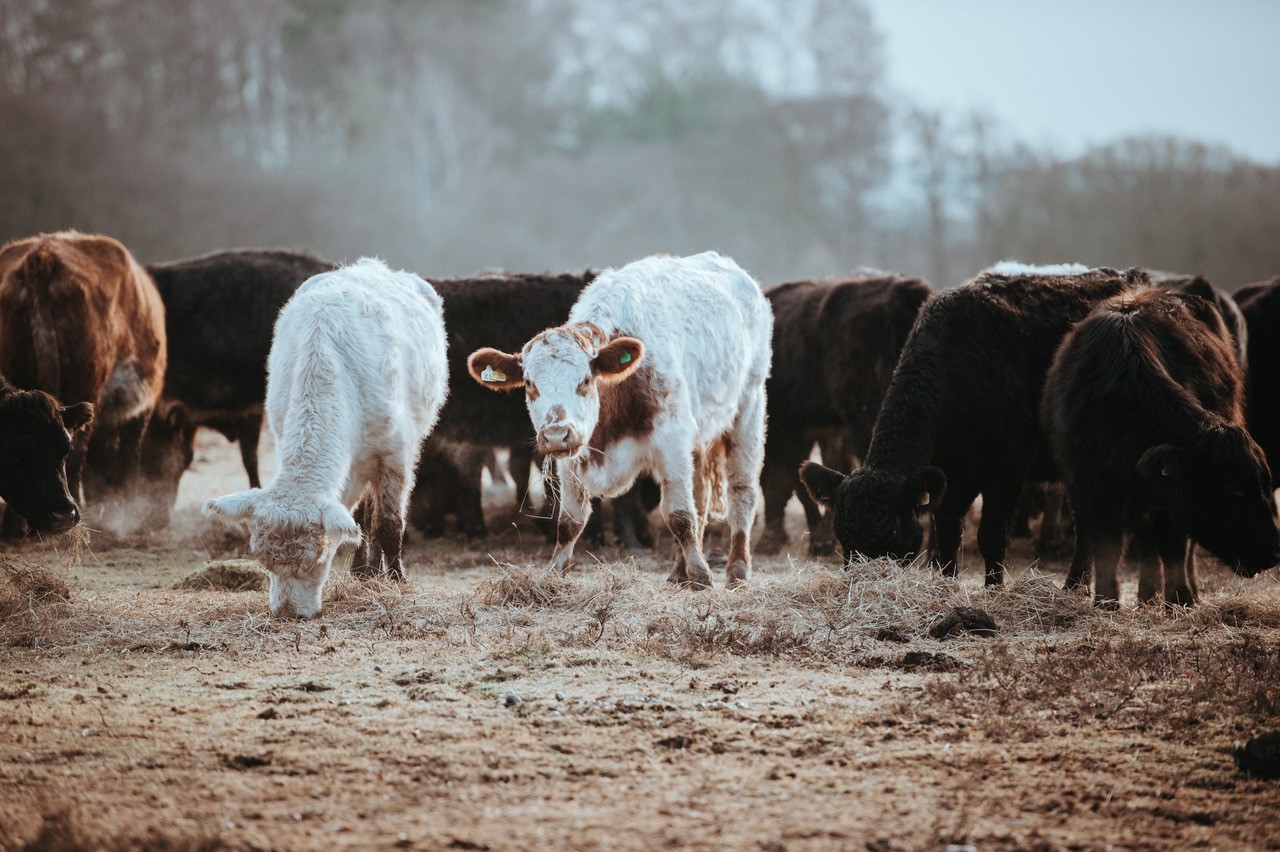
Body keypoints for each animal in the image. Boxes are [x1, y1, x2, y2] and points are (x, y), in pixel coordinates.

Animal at [203, 258, 448, 618]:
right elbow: (360, 522)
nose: (288, 612)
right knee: (361, 518)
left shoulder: (395, 456)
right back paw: (364, 571)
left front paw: (398, 580)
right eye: (264, 562)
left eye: (316, 561)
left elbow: (389, 524)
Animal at [468, 252, 772, 588]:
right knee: (701, 497)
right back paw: (679, 572)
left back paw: (737, 569)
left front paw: (702, 577)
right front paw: (555, 573)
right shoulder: (573, 457)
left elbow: (679, 516)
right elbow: (569, 522)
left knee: (741, 491)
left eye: (586, 380)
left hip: (749, 407)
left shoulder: (672, 444)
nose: (556, 434)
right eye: (530, 384)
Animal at [800, 264, 1148, 585]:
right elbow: (947, 533)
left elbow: (991, 535)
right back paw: (1075, 586)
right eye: (843, 536)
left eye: (893, 533)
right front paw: (945, 582)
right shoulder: (951, 475)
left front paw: (993, 588)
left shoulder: (1009, 466)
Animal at [1043, 288, 1280, 605]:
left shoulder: (1169, 500)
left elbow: (1174, 550)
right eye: (1233, 487)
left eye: (1264, 483)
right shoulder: (1087, 487)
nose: (1272, 552)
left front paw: (1181, 600)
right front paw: (1106, 601)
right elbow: (1105, 548)